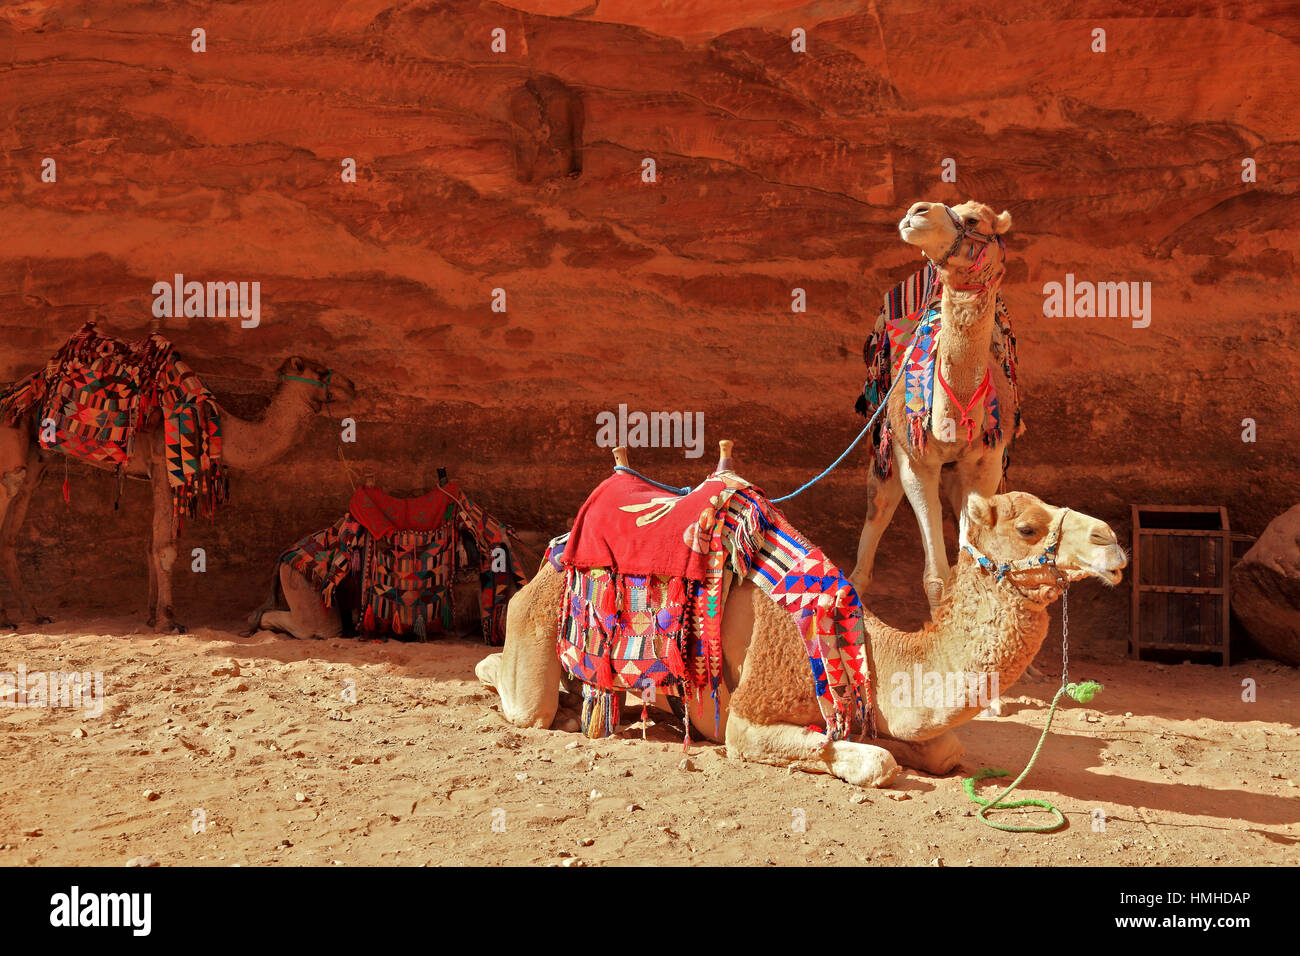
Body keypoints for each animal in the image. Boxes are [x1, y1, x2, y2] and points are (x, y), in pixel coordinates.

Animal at [0, 351, 355, 632]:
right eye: (319, 371)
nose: (352, 386)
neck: (218, 426)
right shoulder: (163, 467)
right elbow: (164, 547)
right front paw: (168, 620)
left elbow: (151, 543)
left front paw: (151, 615)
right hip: (11, 448)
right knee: (10, 488)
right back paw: (7, 620)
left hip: (36, 462)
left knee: (11, 531)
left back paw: (33, 615)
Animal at [476, 444, 1127, 787]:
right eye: (1029, 528)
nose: (1112, 541)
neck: (872, 656)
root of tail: (562, 541)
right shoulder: (748, 714)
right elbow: (869, 759)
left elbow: (942, 750)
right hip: (538, 613)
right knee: (523, 698)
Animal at [850, 199, 1020, 614]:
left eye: (973, 219)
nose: (917, 212)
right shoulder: (916, 460)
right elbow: (938, 579)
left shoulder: (987, 461)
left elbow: (972, 565)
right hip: (885, 443)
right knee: (879, 507)